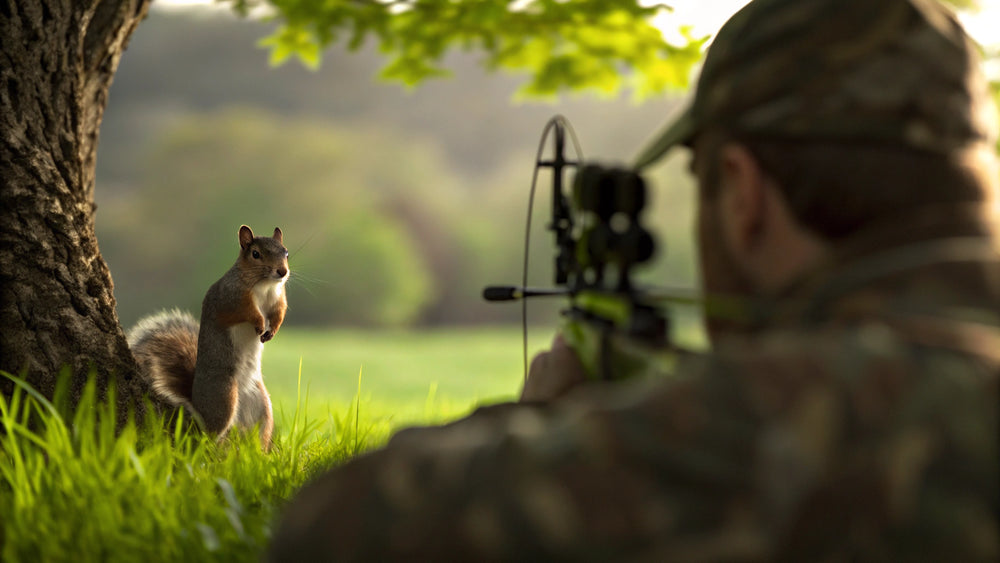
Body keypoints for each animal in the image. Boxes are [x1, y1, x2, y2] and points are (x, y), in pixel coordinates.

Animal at [128, 225, 289, 451]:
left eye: (286, 252)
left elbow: (279, 314)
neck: (265, 286)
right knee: (211, 431)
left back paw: (259, 452)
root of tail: (196, 400)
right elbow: (248, 312)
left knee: (257, 432)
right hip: (223, 397)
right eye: (255, 254)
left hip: (262, 406)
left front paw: (272, 330)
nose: (282, 272)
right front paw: (259, 322)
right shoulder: (230, 299)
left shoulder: (278, 299)